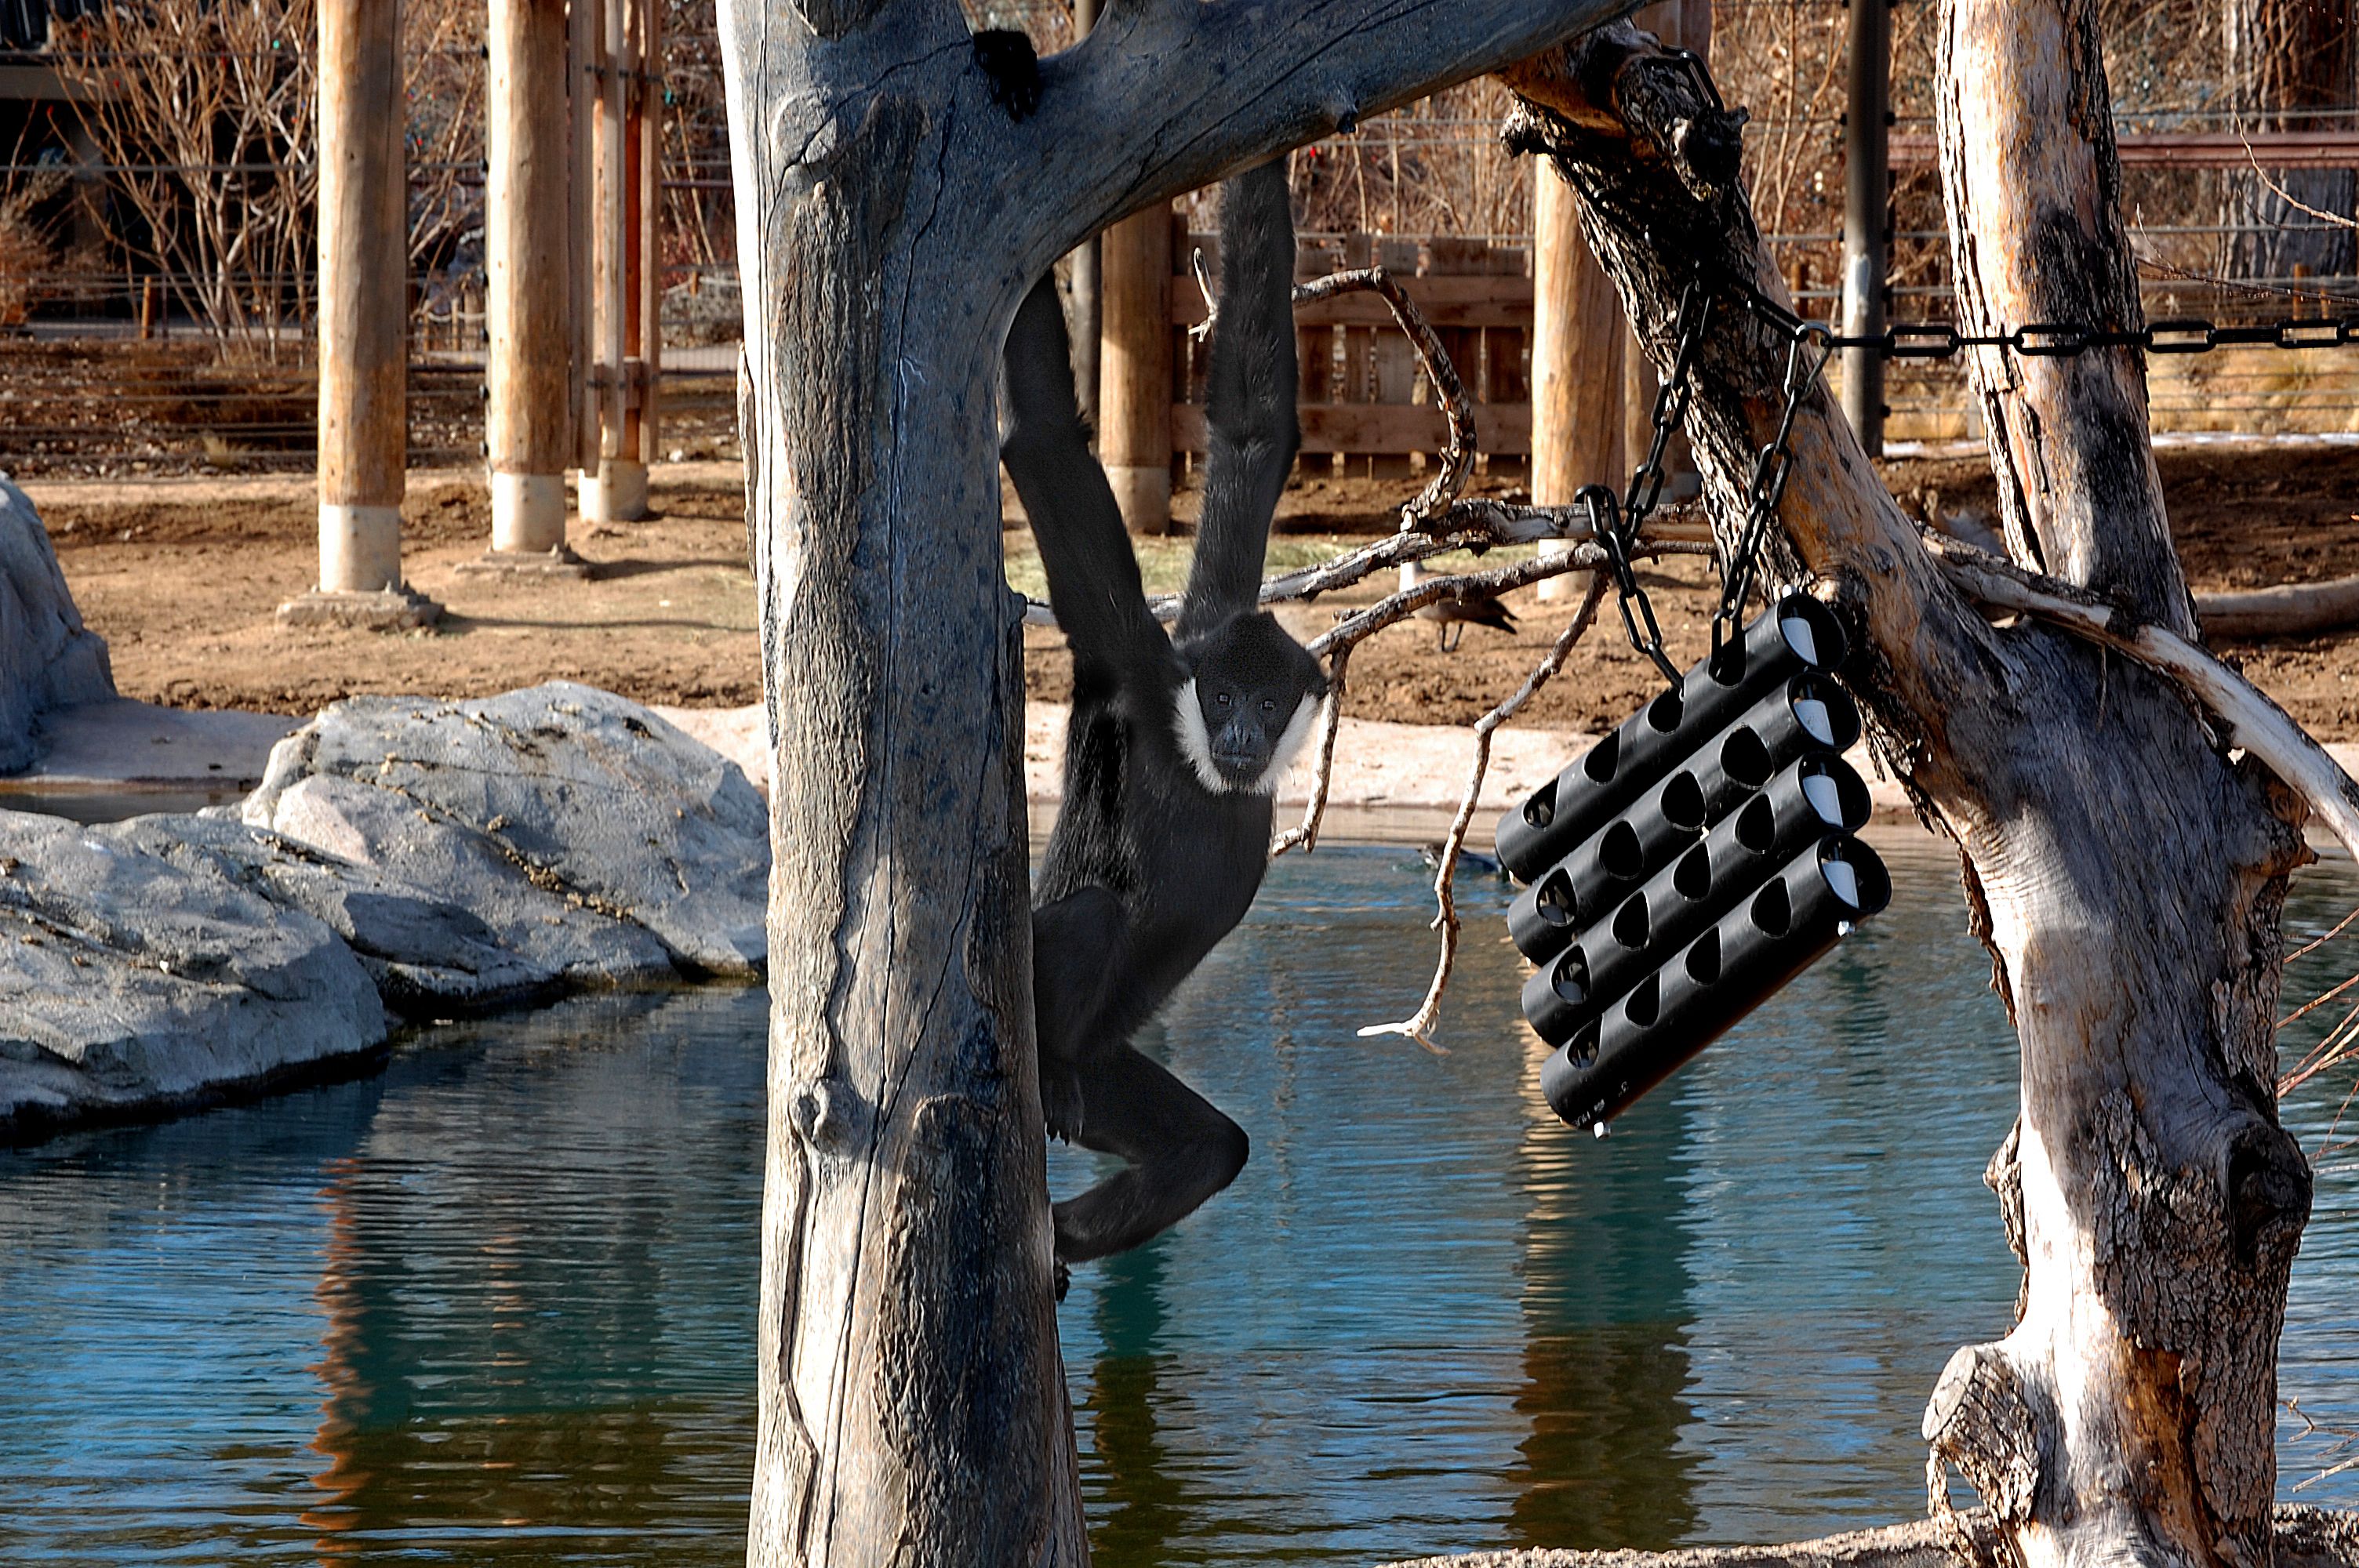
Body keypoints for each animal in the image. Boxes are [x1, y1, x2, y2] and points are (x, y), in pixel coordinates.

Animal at [1000, 158, 1326, 1275]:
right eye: (1220, 697)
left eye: (1266, 702)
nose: (1239, 733)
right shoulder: (1141, 664)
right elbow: (1043, 437)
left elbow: (1256, 429)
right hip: (1038, 1031)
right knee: (1094, 916)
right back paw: (1052, 1073)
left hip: (1118, 1069)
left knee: (1207, 1148)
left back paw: (1060, 1228)